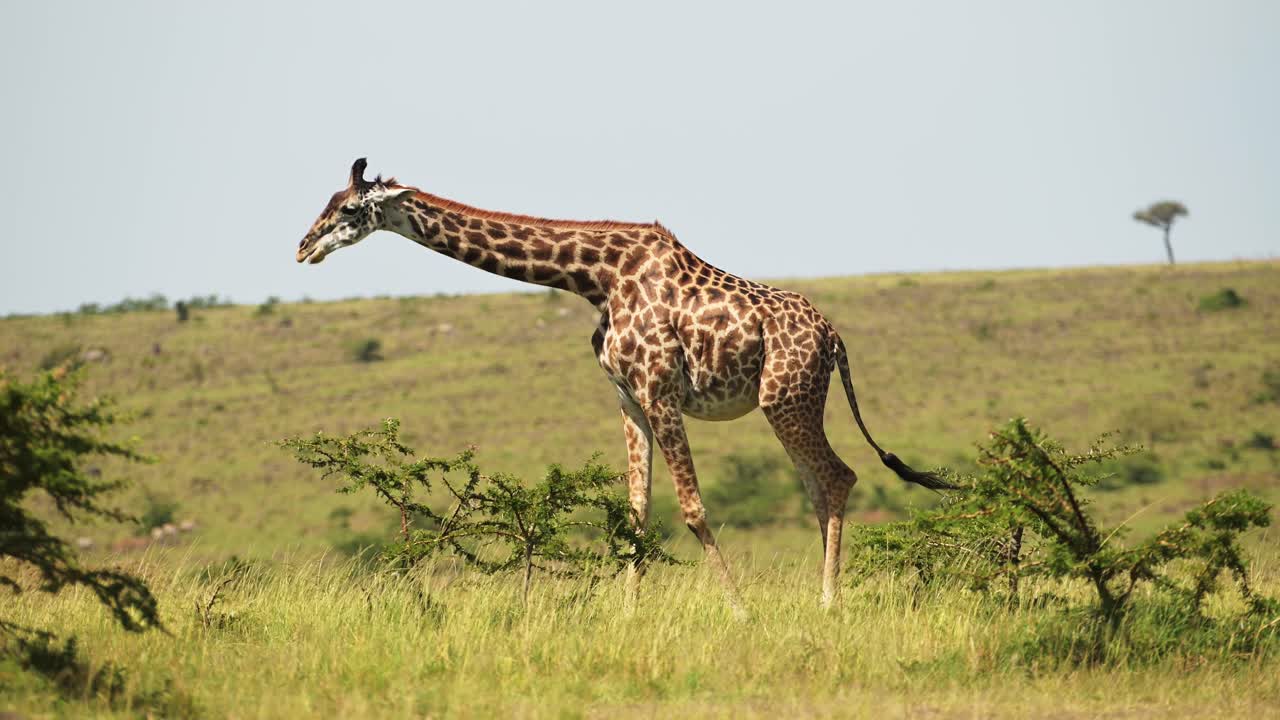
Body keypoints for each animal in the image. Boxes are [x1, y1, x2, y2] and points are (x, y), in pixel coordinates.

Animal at [296, 159, 949, 611]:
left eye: (350, 210)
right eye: (328, 201)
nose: (303, 247)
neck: (595, 278)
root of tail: (834, 338)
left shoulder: (661, 391)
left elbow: (692, 507)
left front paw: (740, 612)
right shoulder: (627, 396)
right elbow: (637, 510)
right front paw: (629, 613)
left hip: (785, 398)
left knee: (837, 477)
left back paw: (828, 603)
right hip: (788, 403)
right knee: (819, 484)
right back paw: (823, 596)